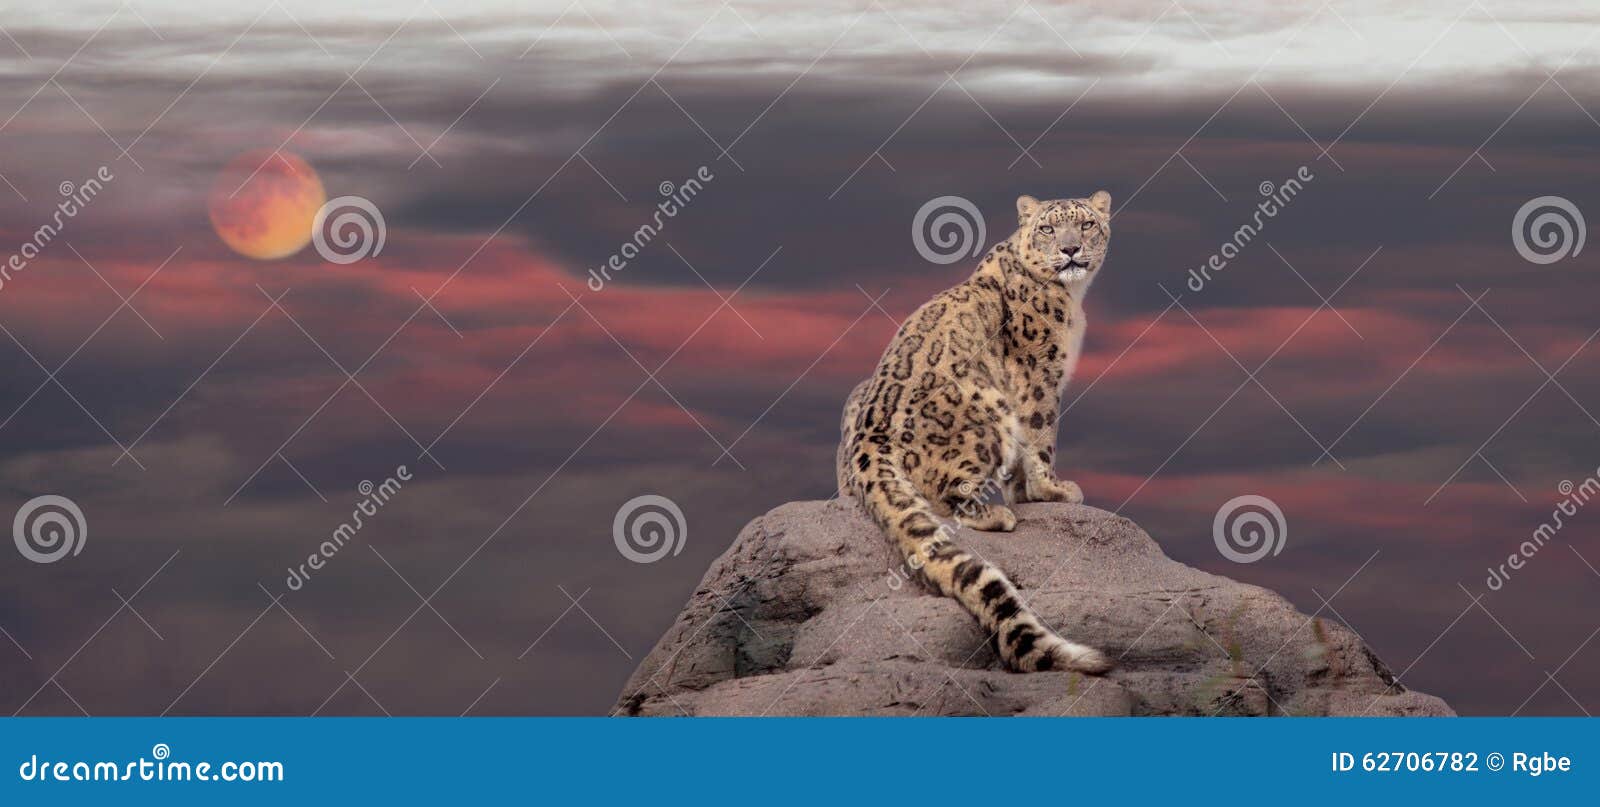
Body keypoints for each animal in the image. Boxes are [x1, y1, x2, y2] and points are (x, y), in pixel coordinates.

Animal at [835, 191, 1114, 674]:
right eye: (1048, 228)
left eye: (1087, 224)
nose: (1070, 249)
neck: (1072, 298)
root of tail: (869, 437)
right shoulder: (1038, 374)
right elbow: (1040, 434)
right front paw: (1052, 490)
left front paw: (1024, 491)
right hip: (988, 409)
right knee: (948, 496)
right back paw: (996, 515)